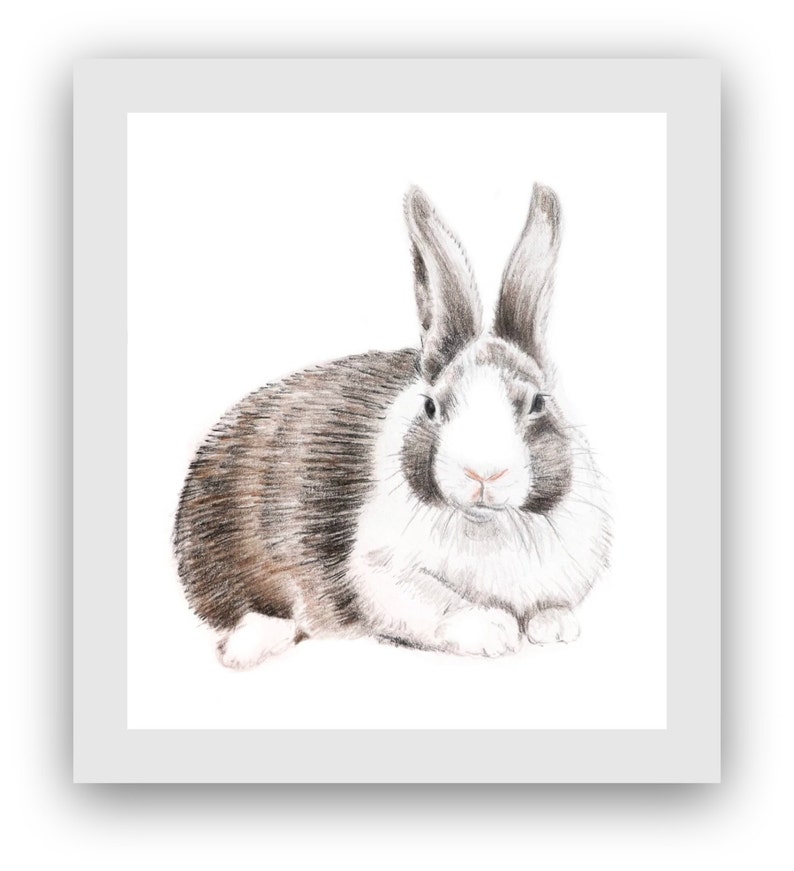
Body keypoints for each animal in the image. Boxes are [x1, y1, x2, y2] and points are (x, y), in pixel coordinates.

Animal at [173, 184, 611, 669]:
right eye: (432, 407)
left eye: (538, 403)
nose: (483, 474)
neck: (488, 523)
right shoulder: (379, 573)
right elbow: (436, 602)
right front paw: (492, 630)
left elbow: (550, 606)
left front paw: (556, 627)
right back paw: (246, 648)